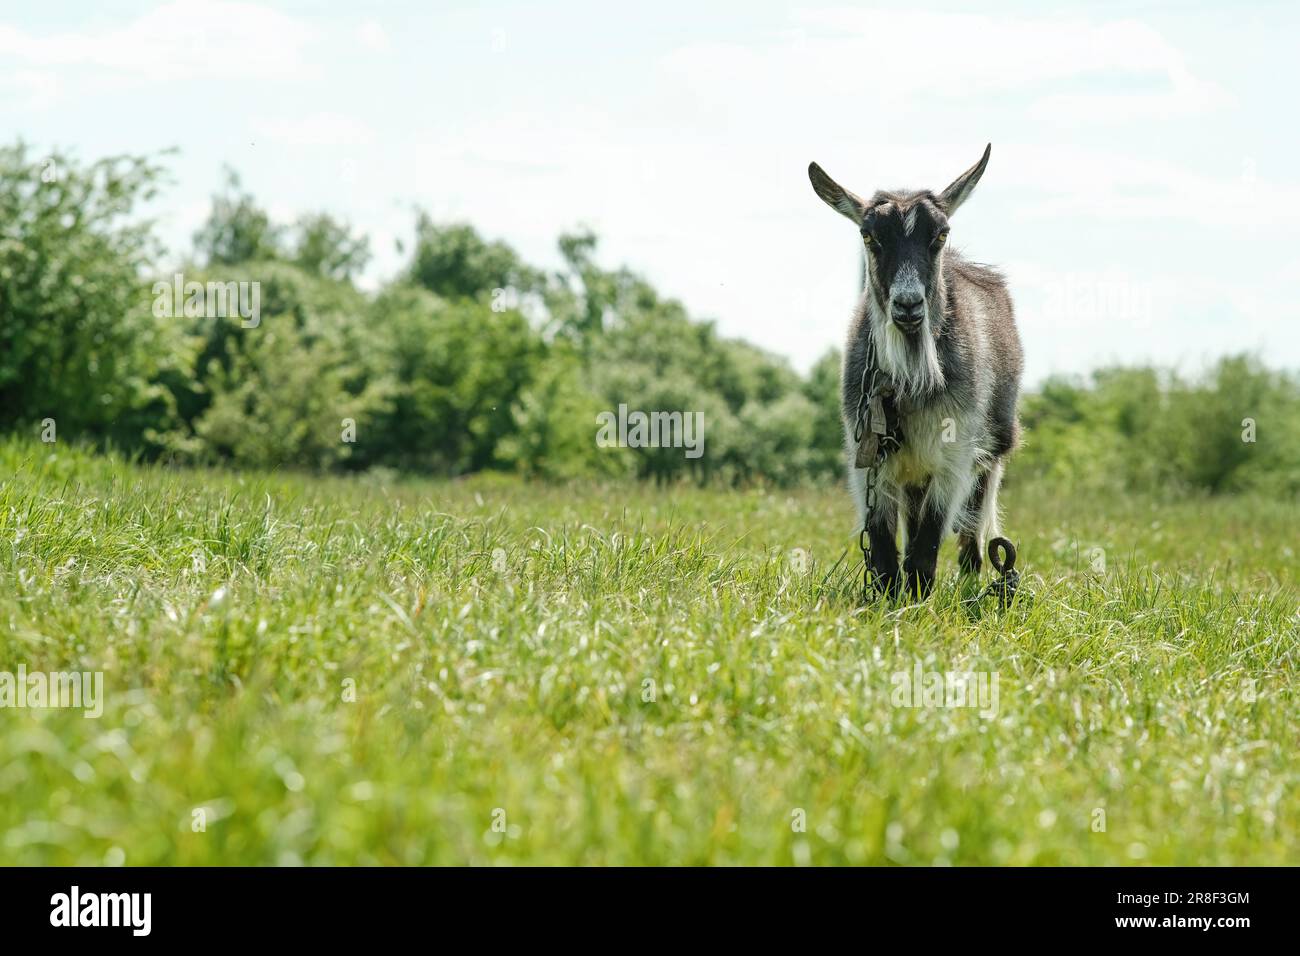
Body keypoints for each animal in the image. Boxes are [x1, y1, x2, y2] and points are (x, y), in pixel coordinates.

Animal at [808, 145, 1023, 600]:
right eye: (869, 236)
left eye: (940, 234)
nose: (908, 306)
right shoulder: (868, 459)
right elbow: (884, 550)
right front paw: (888, 602)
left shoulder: (954, 456)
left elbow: (925, 548)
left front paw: (918, 604)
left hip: (993, 451)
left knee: (973, 535)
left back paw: (971, 586)